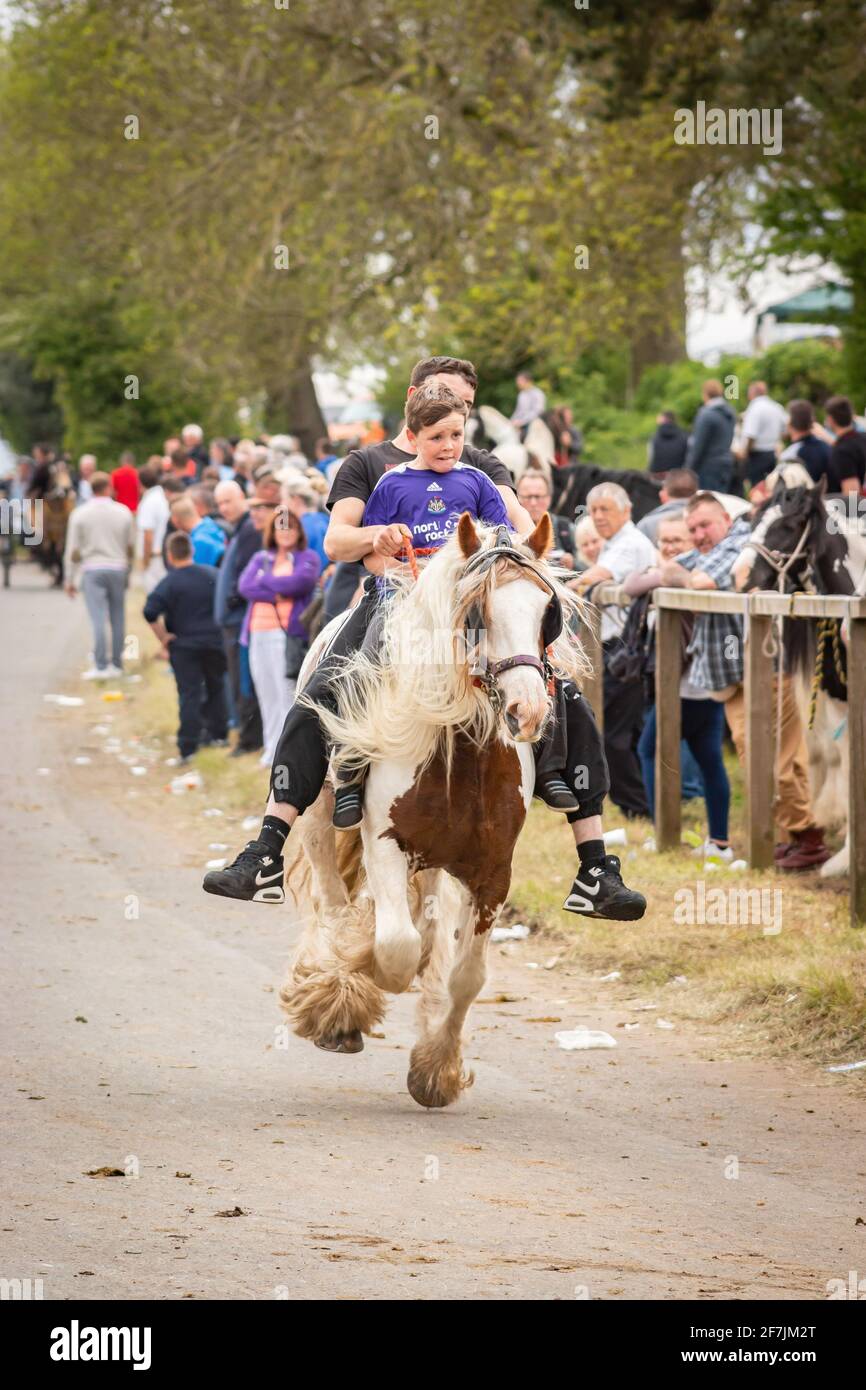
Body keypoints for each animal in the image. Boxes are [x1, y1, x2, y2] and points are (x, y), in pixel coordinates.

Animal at [279, 512, 589, 1108]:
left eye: (548, 612)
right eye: (478, 613)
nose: (529, 709)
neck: (463, 755)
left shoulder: (492, 871)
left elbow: (465, 977)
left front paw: (436, 1070)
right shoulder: (385, 845)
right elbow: (392, 949)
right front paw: (347, 985)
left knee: (419, 924)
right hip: (319, 822)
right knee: (333, 903)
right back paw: (336, 996)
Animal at [738, 471, 866, 877]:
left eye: (790, 525)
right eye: (754, 518)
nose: (740, 574)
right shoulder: (840, 699)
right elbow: (847, 762)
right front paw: (846, 857)